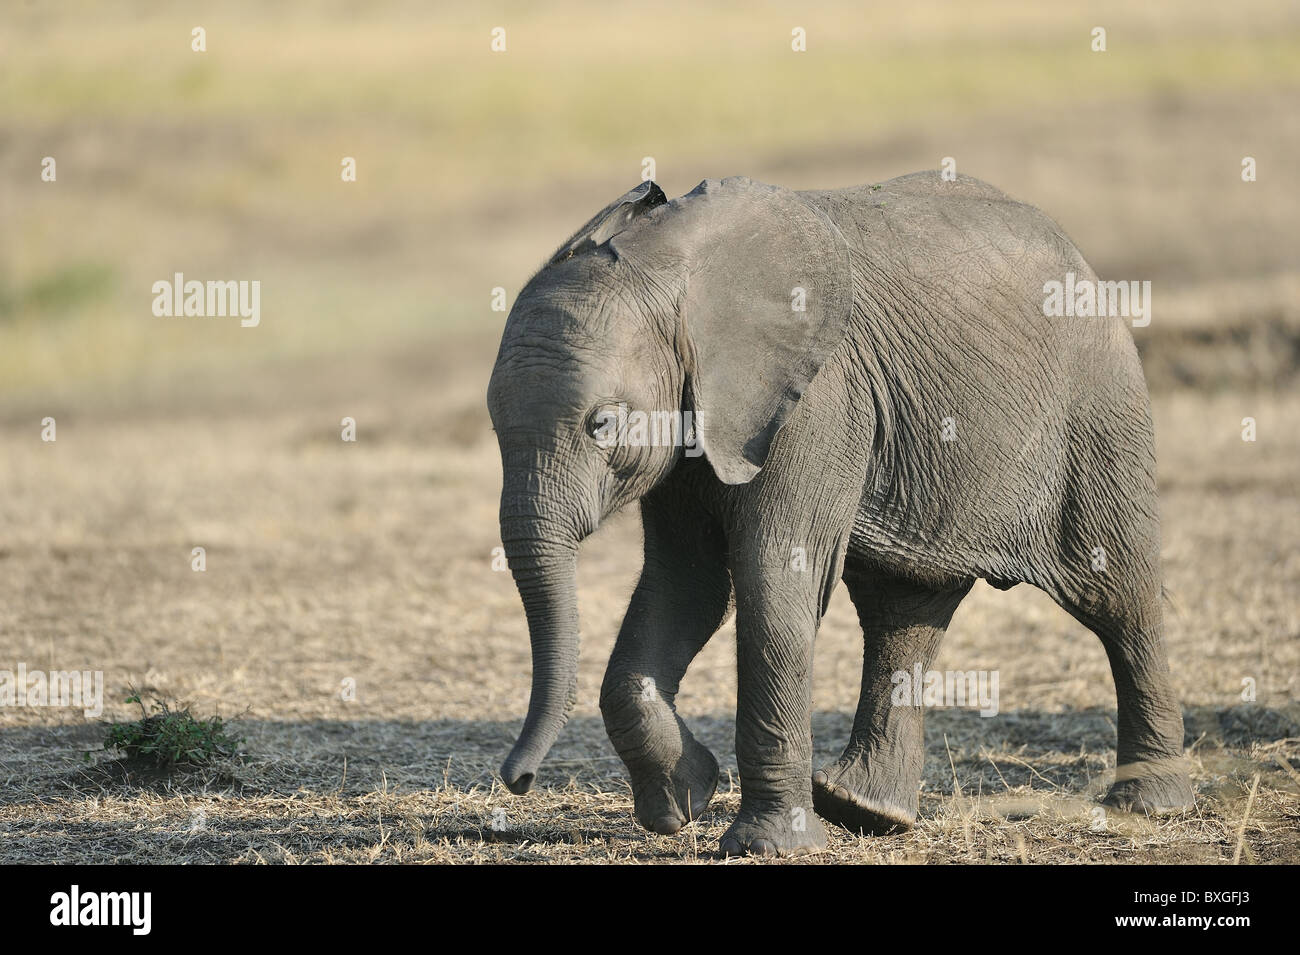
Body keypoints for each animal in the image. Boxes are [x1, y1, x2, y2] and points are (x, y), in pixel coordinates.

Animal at [486, 171, 1194, 857]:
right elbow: (685, 586)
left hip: (1099, 409)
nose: (518, 781)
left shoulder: (816, 403)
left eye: (602, 424)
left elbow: (775, 582)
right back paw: (867, 813)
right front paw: (682, 801)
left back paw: (1149, 805)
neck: (668, 266)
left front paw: (768, 845)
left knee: (1118, 597)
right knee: (903, 610)